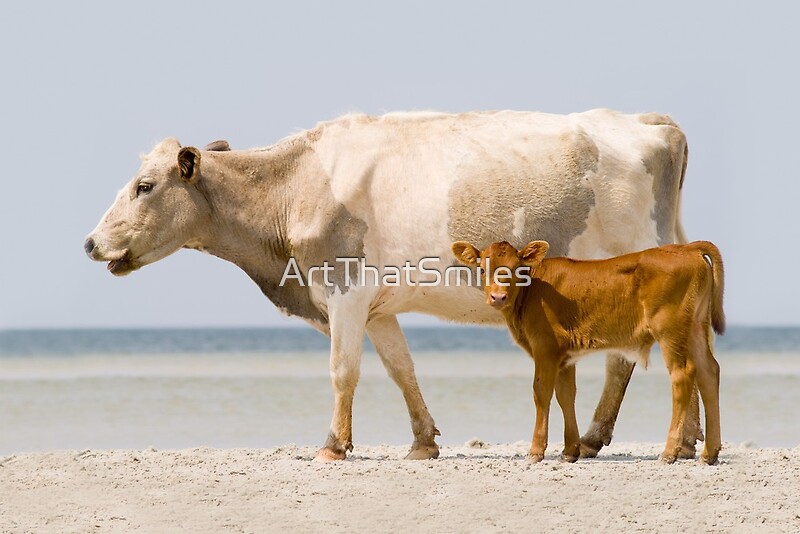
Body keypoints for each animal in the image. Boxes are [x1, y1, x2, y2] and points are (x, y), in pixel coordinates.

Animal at [84, 109, 691, 461]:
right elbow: (401, 369)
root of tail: (648, 121)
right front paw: (422, 442)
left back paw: (606, 439)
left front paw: (333, 446)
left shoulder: (344, 287)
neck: (294, 185)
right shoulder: (376, 306)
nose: (90, 243)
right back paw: (676, 443)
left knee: (631, 360)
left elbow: (342, 369)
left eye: (144, 186)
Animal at [452, 239, 724, 464]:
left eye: (516, 268)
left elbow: (541, 393)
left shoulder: (545, 347)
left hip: (670, 328)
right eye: (483, 269)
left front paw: (536, 451)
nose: (498, 297)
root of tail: (686, 248)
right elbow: (566, 394)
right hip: (695, 326)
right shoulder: (564, 356)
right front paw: (569, 451)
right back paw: (709, 454)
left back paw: (669, 452)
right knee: (709, 372)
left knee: (682, 374)